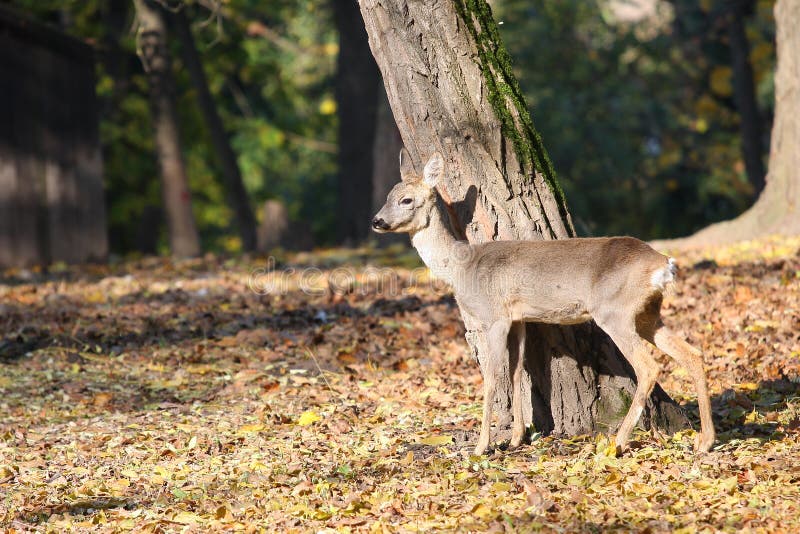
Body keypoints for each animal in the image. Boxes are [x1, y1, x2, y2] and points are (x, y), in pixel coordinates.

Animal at [371, 150, 715, 456]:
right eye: (388, 195)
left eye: (406, 200)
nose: (377, 221)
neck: (461, 267)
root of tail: (664, 265)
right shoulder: (519, 319)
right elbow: (516, 372)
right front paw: (515, 439)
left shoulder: (494, 316)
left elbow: (492, 377)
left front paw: (481, 447)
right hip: (648, 313)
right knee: (692, 354)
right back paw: (705, 441)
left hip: (615, 311)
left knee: (648, 365)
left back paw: (618, 442)